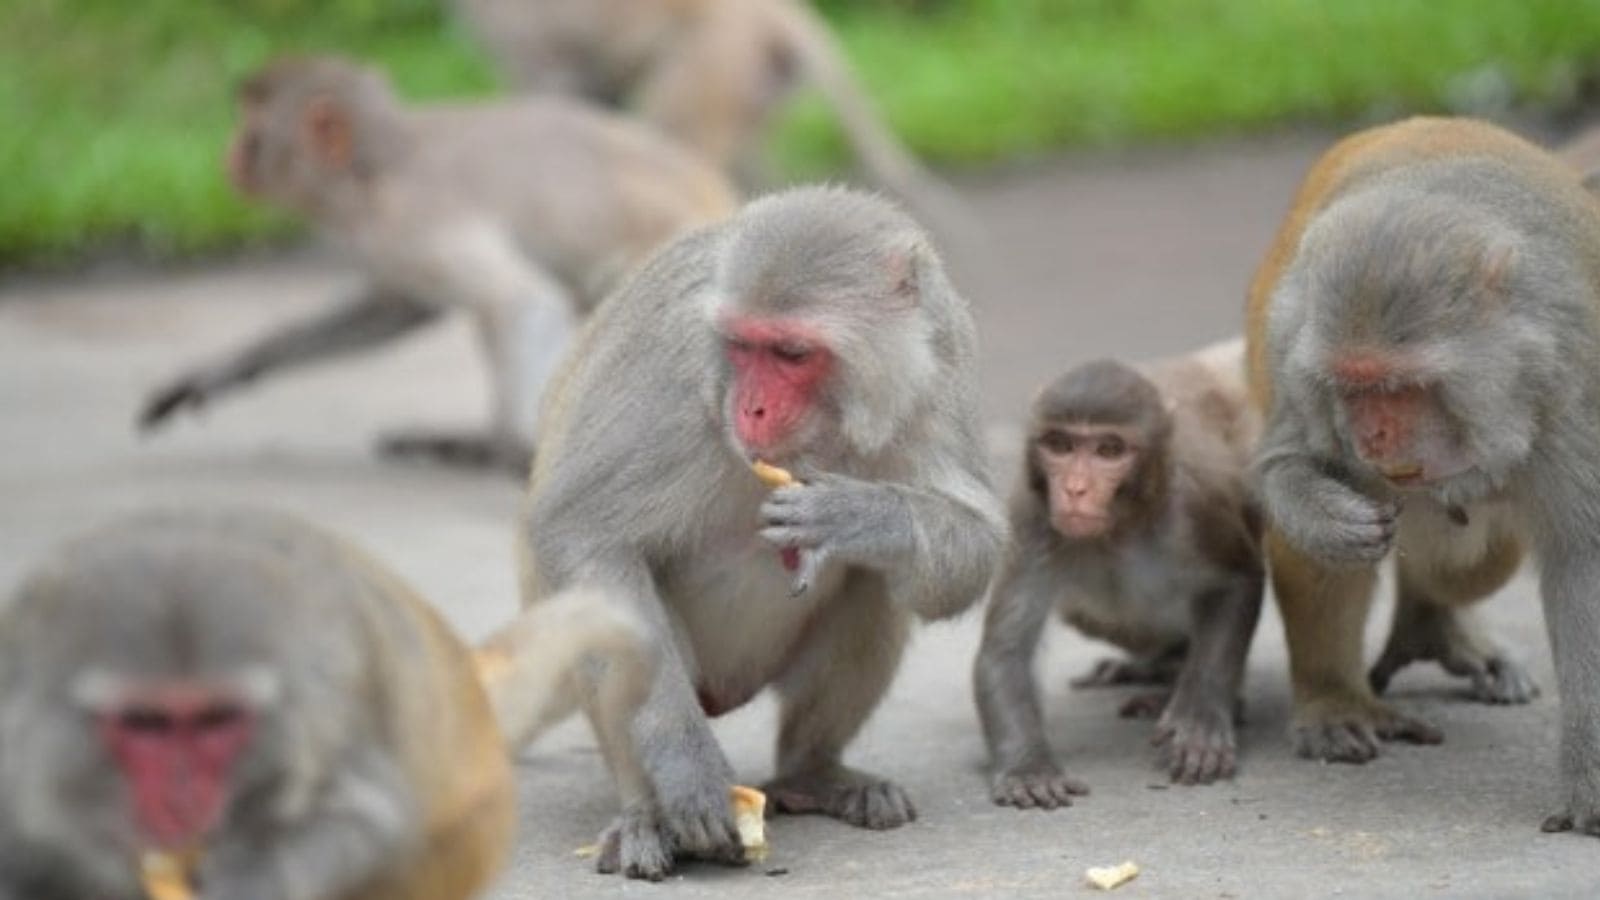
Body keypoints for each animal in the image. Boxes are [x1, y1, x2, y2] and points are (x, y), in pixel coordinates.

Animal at [137, 55, 737, 475]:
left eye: (253, 132)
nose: (230, 156)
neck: (376, 167)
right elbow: (395, 310)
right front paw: (222, 369)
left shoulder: (413, 220)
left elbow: (519, 300)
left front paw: (518, 448)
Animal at [479, 185, 1007, 880]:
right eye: (739, 346)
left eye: (792, 353)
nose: (750, 409)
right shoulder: (674, 378)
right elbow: (580, 531)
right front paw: (687, 771)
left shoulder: (940, 363)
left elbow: (974, 549)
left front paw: (856, 515)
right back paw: (647, 813)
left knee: (873, 583)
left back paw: (814, 773)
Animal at [973, 338, 1265, 803]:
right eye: (1059, 445)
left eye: (1109, 450)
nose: (1074, 489)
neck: (1122, 527)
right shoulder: (1031, 515)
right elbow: (1007, 650)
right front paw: (1026, 767)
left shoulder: (1198, 504)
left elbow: (1237, 582)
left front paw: (1200, 719)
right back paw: (1157, 666)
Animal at [1243, 116, 1600, 834]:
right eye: (1353, 386)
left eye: (1400, 388)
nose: (1373, 436)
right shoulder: (1293, 346)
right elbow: (1282, 467)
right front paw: (1329, 519)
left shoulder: (1575, 392)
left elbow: (1585, 559)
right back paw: (1336, 701)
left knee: (1477, 562)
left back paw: (1432, 623)